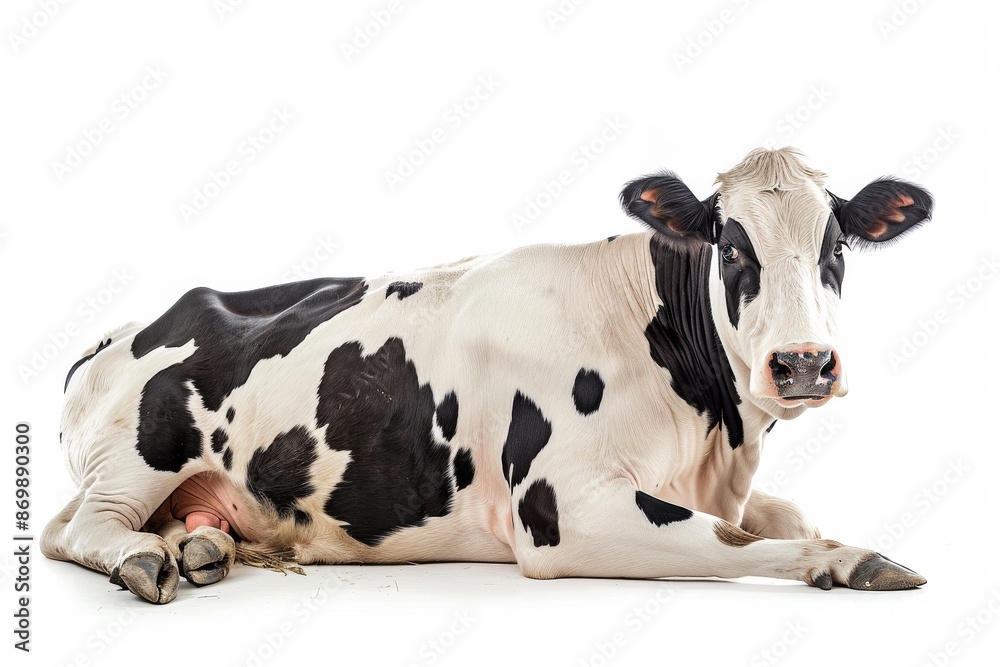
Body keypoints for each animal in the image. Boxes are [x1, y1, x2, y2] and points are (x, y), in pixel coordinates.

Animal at [42, 147, 933, 604]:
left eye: (838, 247)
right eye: (734, 246)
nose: (804, 362)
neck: (715, 435)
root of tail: (127, 326)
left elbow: (785, 515)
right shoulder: (564, 511)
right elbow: (736, 538)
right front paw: (854, 558)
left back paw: (197, 545)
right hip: (139, 455)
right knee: (79, 527)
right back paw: (146, 559)